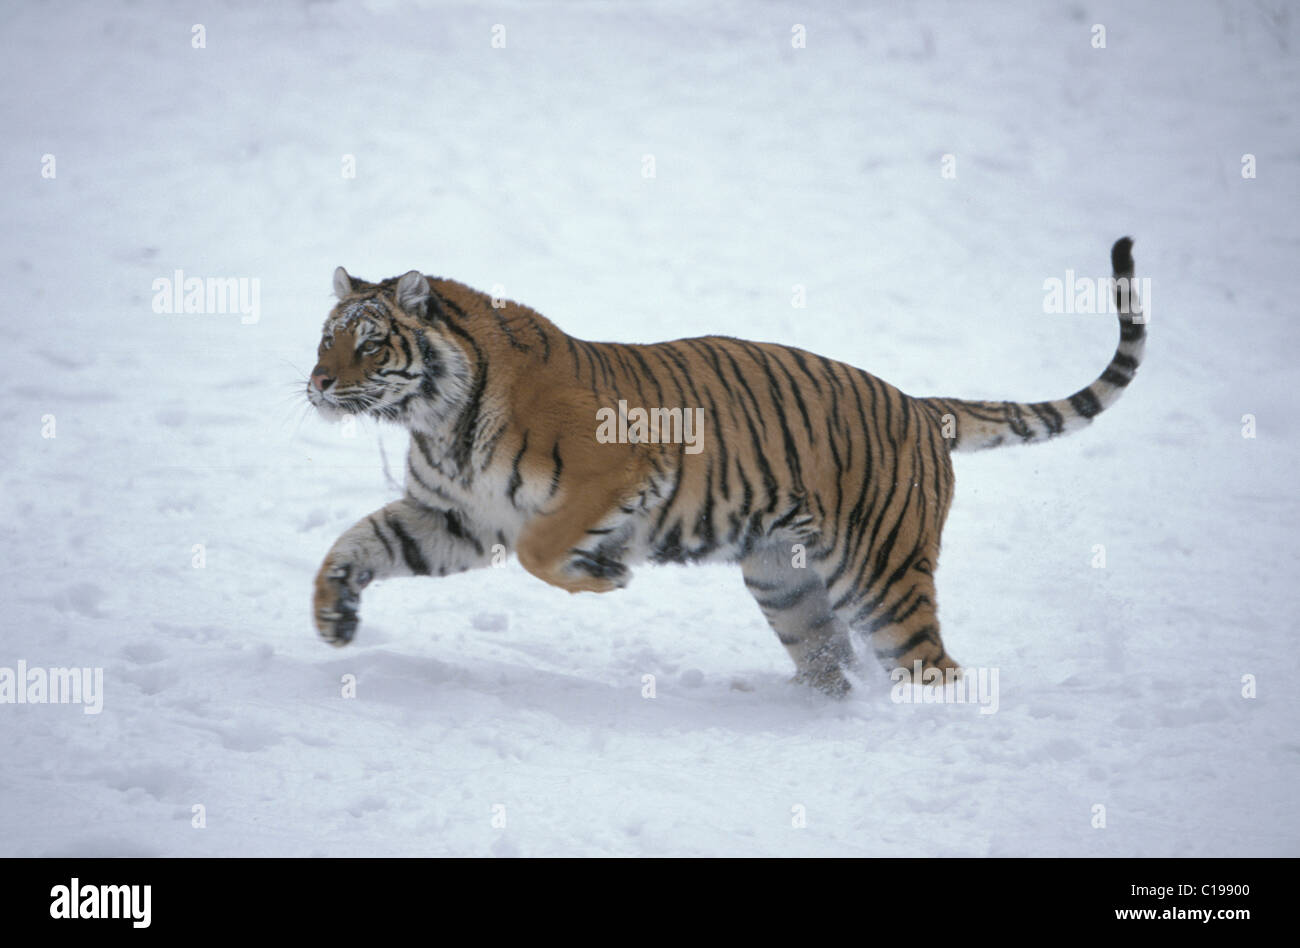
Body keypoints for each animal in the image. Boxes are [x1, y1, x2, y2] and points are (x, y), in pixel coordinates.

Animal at [307, 238, 1145, 696]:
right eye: (327, 337)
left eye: (371, 343)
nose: (316, 382)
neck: (436, 418)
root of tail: (917, 403)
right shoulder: (450, 516)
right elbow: (354, 544)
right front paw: (332, 617)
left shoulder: (616, 470)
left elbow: (542, 550)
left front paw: (605, 575)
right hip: (786, 582)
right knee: (830, 662)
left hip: (882, 576)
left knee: (934, 666)